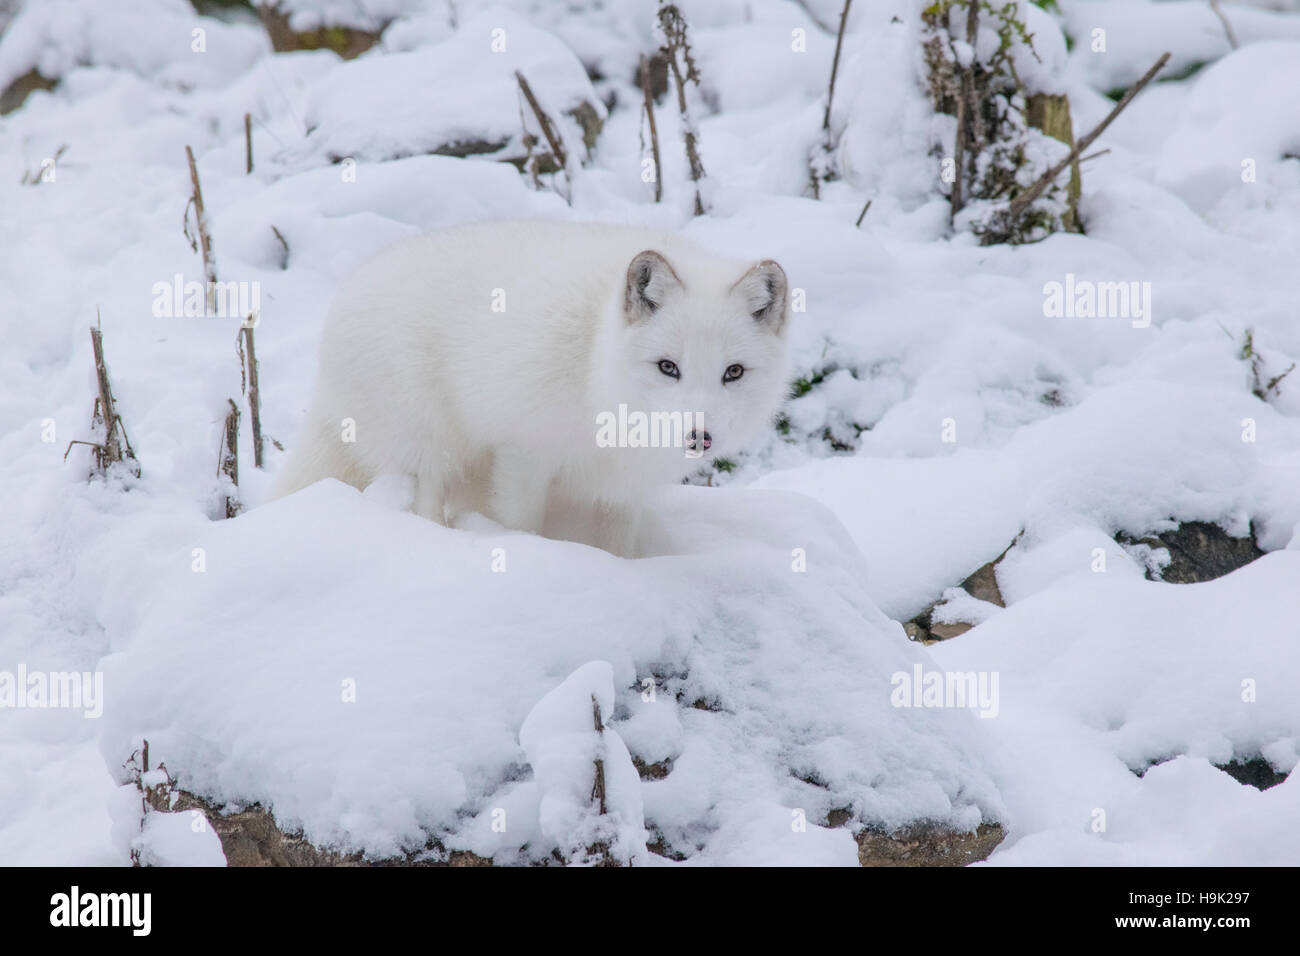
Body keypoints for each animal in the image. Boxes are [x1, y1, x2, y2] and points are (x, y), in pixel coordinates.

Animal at [273, 220, 793, 557]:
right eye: (668, 367)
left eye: (733, 372)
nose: (698, 437)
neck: (595, 371)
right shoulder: (523, 453)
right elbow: (520, 524)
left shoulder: (622, 489)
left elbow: (617, 548)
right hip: (429, 448)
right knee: (424, 505)